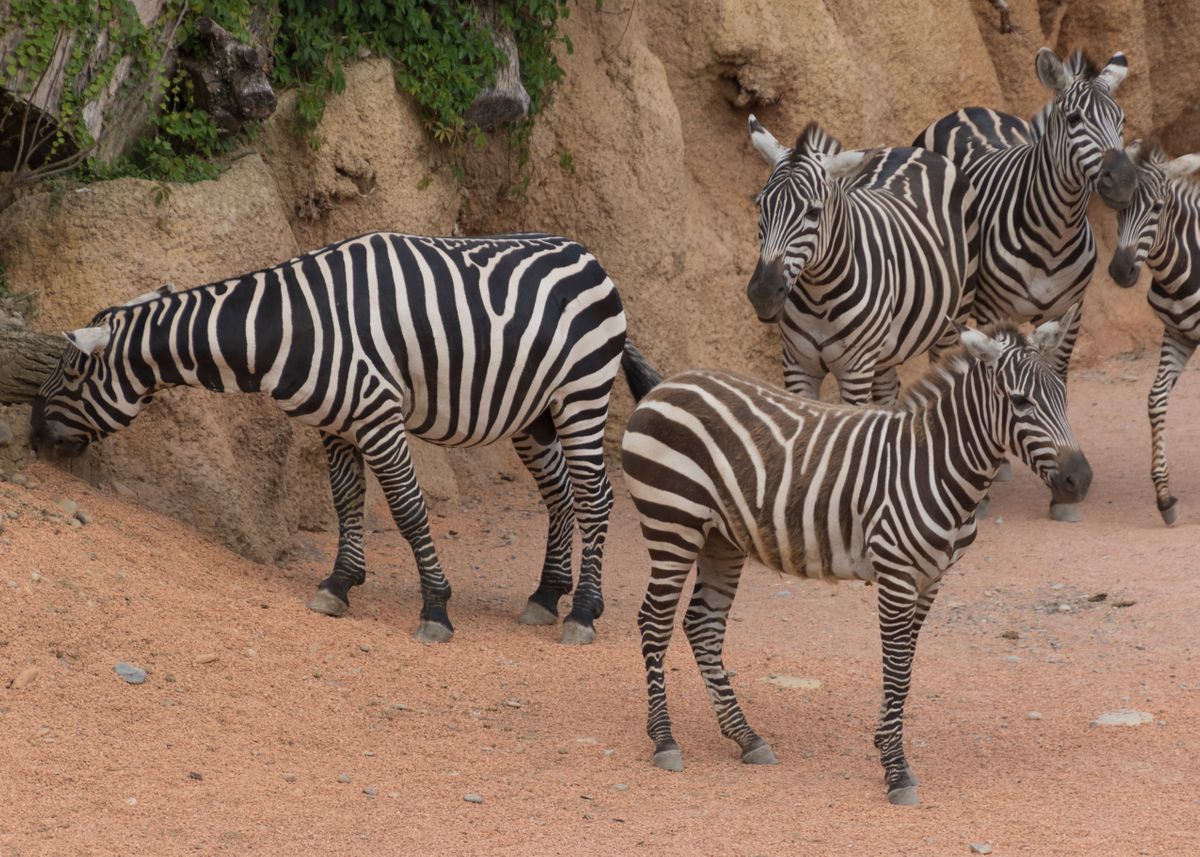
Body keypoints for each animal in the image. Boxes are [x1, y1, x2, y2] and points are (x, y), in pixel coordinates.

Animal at [29, 232, 629, 645]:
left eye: (74, 373)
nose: (34, 435)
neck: (287, 326)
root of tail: (586, 253)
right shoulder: (336, 424)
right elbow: (346, 503)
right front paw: (339, 585)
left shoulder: (378, 415)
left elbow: (408, 509)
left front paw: (435, 608)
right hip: (536, 414)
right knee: (560, 494)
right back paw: (547, 595)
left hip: (582, 394)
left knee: (596, 497)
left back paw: (582, 612)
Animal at [620, 317, 1092, 806]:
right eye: (1020, 401)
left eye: (1062, 395)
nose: (1079, 481)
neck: (935, 465)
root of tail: (668, 384)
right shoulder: (896, 574)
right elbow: (898, 669)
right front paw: (897, 771)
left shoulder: (931, 579)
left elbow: (906, 666)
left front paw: (884, 742)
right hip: (671, 523)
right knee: (654, 622)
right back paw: (665, 740)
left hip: (721, 539)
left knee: (703, 626)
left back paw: (746, 736)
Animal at [746, 117, 979, 405]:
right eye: (760, 205)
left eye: (813, 212)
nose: (763, 293)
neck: (817, 297)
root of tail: (917, 150)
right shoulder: (797, 366)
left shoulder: (855, 372)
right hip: (884, 352)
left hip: (953, 320)